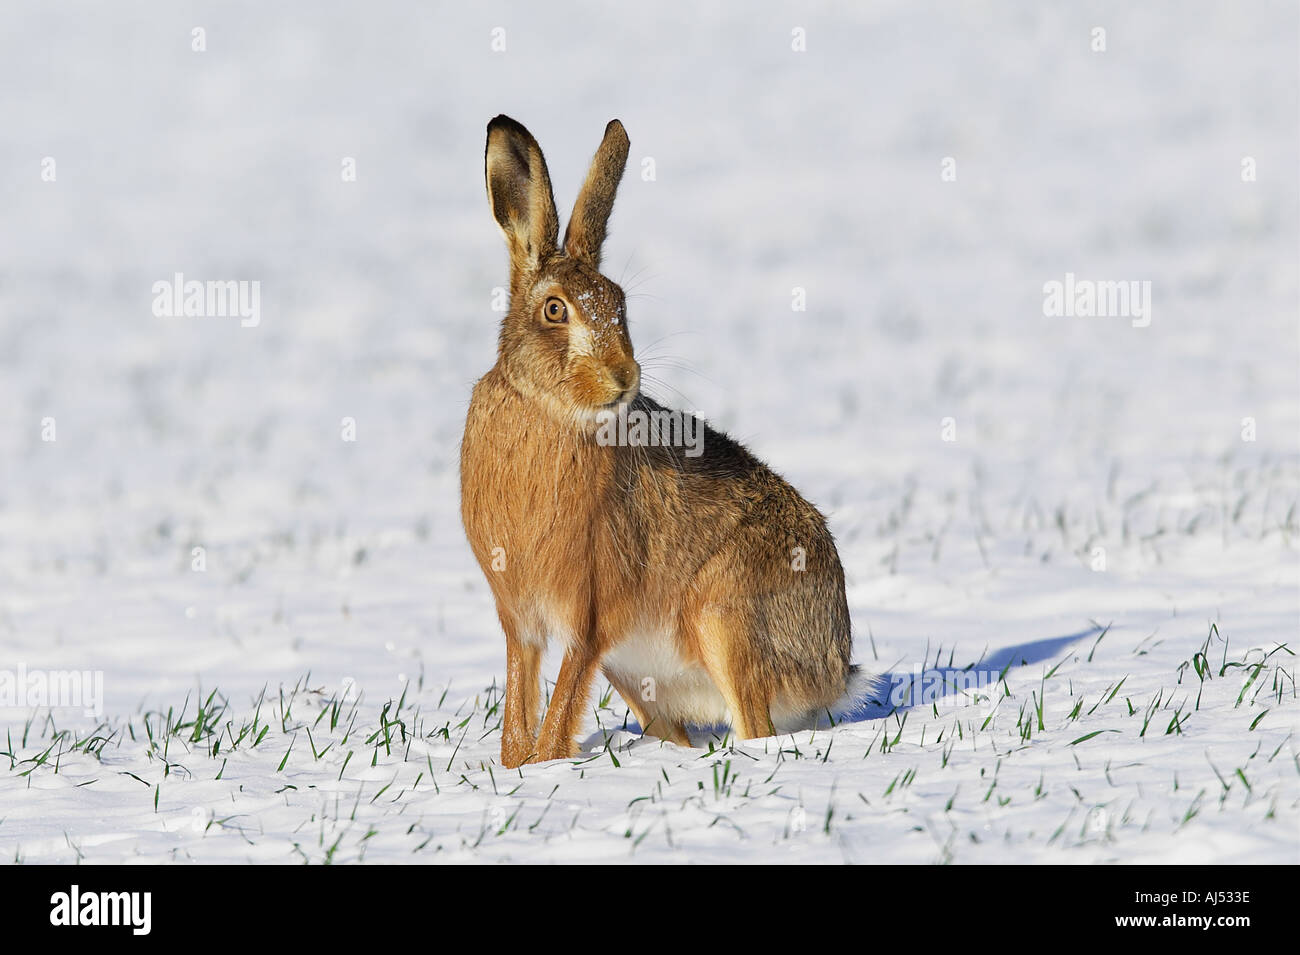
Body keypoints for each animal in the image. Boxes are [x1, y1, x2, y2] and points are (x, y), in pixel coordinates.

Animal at [461, 115, 867, 768]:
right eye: (555, 310)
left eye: (621, 305)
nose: (624, 377)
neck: (548, 411)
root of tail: (836, 667)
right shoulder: (519, 621)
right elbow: (521, 705)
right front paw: (517, 767)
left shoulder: (589, 615)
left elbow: (559, 707)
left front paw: (544, 766)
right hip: (636, 673)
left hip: (725, 621)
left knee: (756, 726)